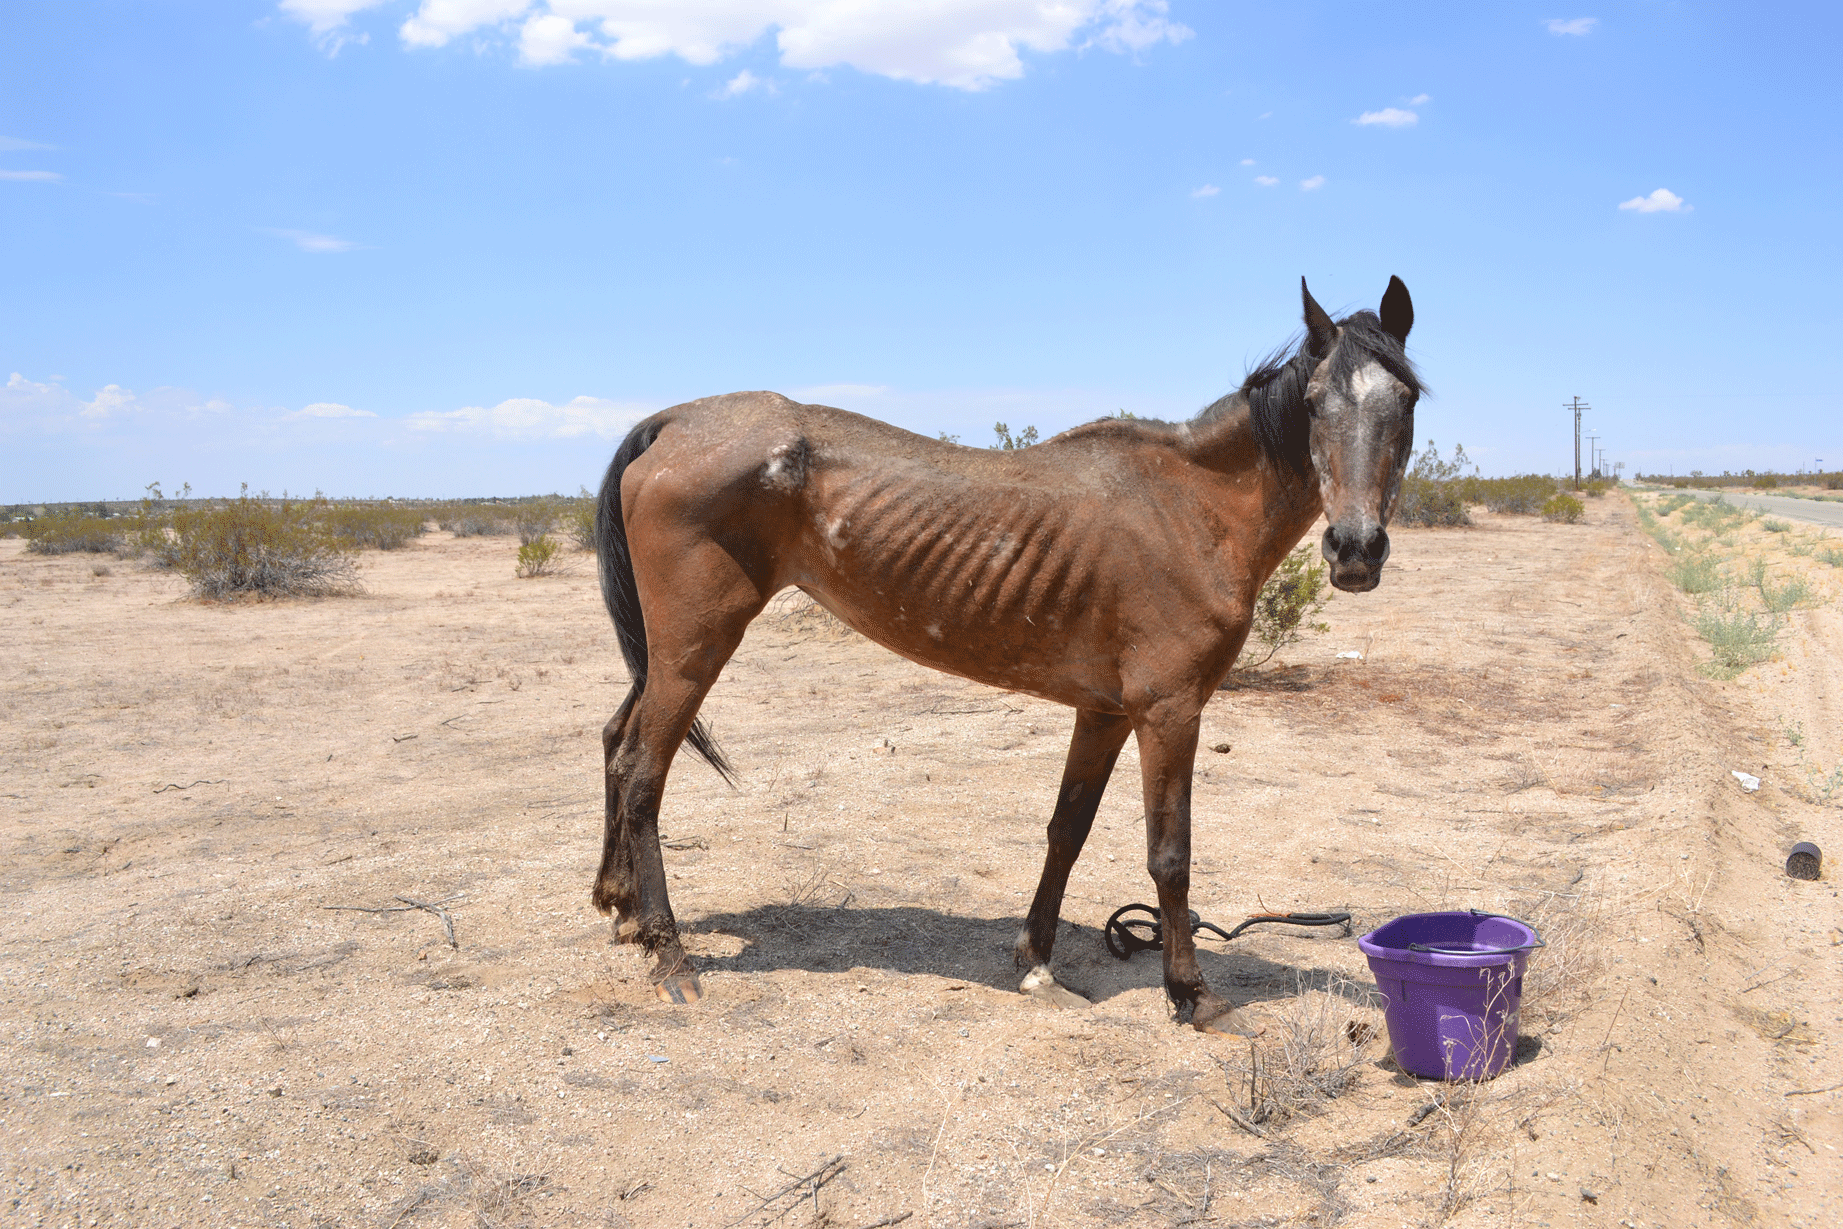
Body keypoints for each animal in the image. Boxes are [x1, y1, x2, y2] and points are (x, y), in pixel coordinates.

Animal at [590, 277, 1420, 1035]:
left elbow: (1066, 829)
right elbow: (1170, 854)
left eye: (1406, 400)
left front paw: (1034, 962)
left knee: (614, 740)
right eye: (1312, 401)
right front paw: (1193, 994)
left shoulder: (1103, 710)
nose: (1354, 549)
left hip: (667, 653)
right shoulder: (1168, 710)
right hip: (695, 645)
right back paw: (669, 955)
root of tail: (674, 421)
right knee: (643, 769)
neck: (1190, 509)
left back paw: (620, 908)